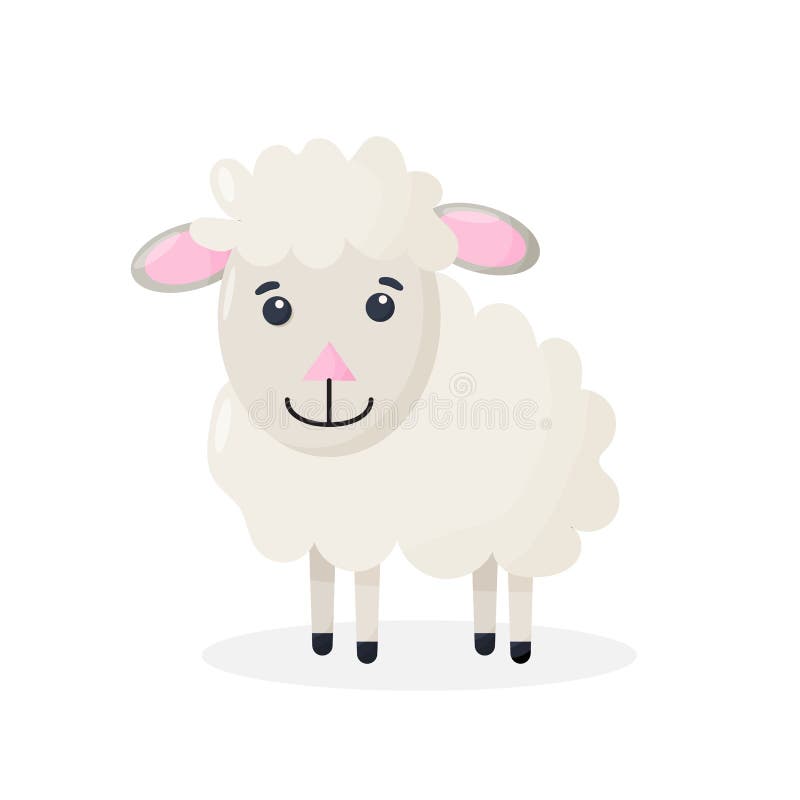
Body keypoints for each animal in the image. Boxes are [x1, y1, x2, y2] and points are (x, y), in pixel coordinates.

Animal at [132, 138, 618, 664]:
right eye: (275, 308)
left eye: (381, 305)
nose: (328, 376)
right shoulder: (319, 520)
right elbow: (320, 580)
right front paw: (321, 644)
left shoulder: (367, 519)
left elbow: (366, 584)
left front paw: (366, 650)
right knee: (485, 572)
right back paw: (483, 642)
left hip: (529, 519)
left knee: (520, 578)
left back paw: (519, 650)